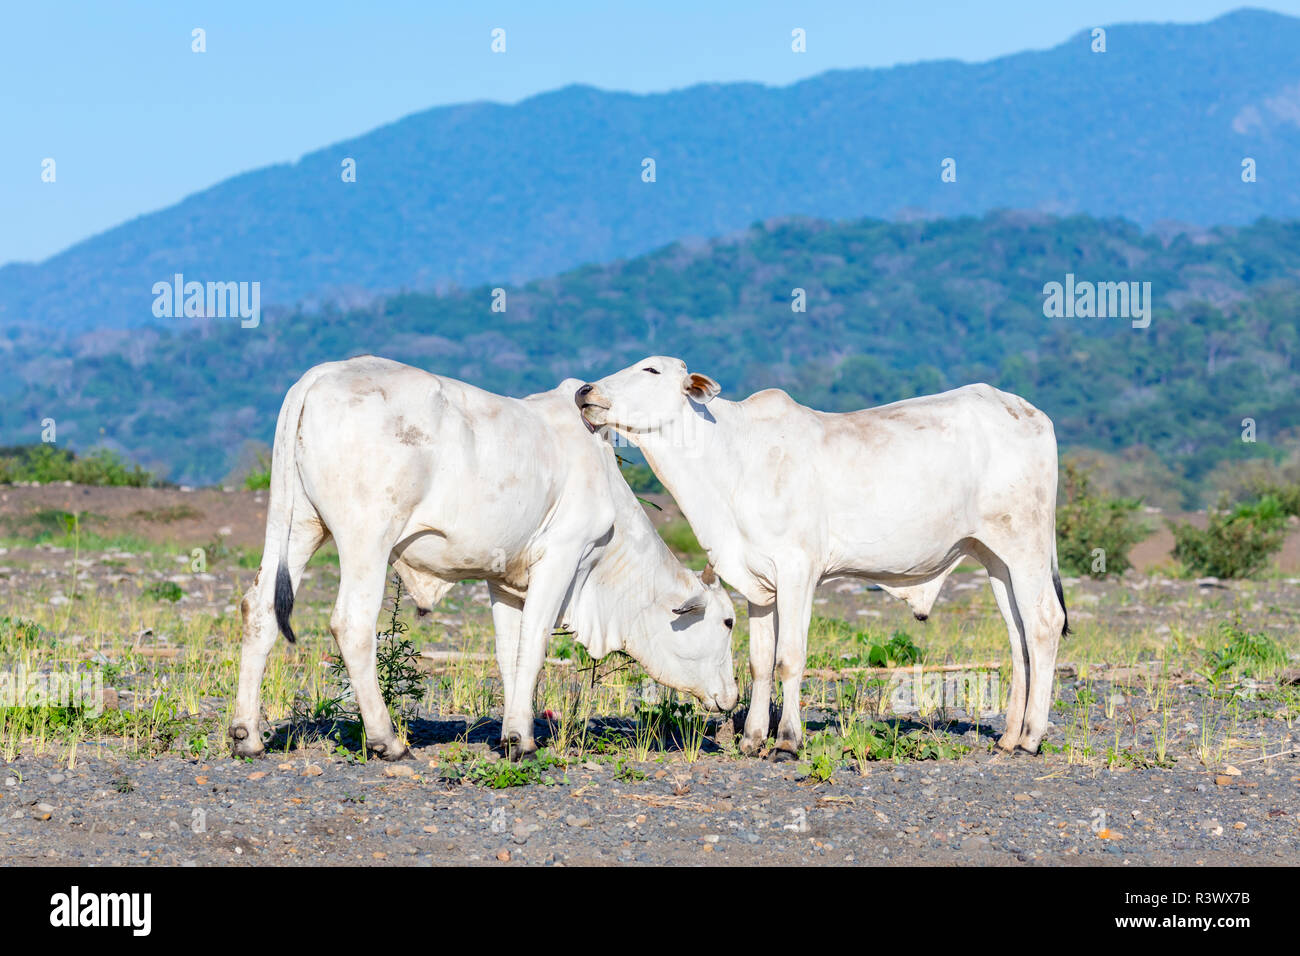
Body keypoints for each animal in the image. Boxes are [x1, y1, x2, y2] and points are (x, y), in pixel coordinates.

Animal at [230, 356, 738, 762]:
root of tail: (321, 375)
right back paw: (386, 740)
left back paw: (247, 735)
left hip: (298, 526)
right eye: (728, 622)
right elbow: (533, 647)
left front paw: (514, 732)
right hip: (366, 536)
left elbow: (509, 653)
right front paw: (521, 741)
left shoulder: (504, 580)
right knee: (352, 624)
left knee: (260, 610)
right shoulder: (562, 556)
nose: (732, 697)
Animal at [577, 357, 1067, 760]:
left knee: (1044, 625)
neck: (731, 460)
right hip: (995, 558)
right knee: (1018, 636)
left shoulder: (798, 570)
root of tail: (1030, 412)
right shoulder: (758, 582)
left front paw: (787, 742)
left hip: (1026, 547)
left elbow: (789, 657)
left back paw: (1031, 738)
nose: (585, 391)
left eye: (651, 369)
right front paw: (753, 738)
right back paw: (1008, 737)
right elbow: (759, 661)